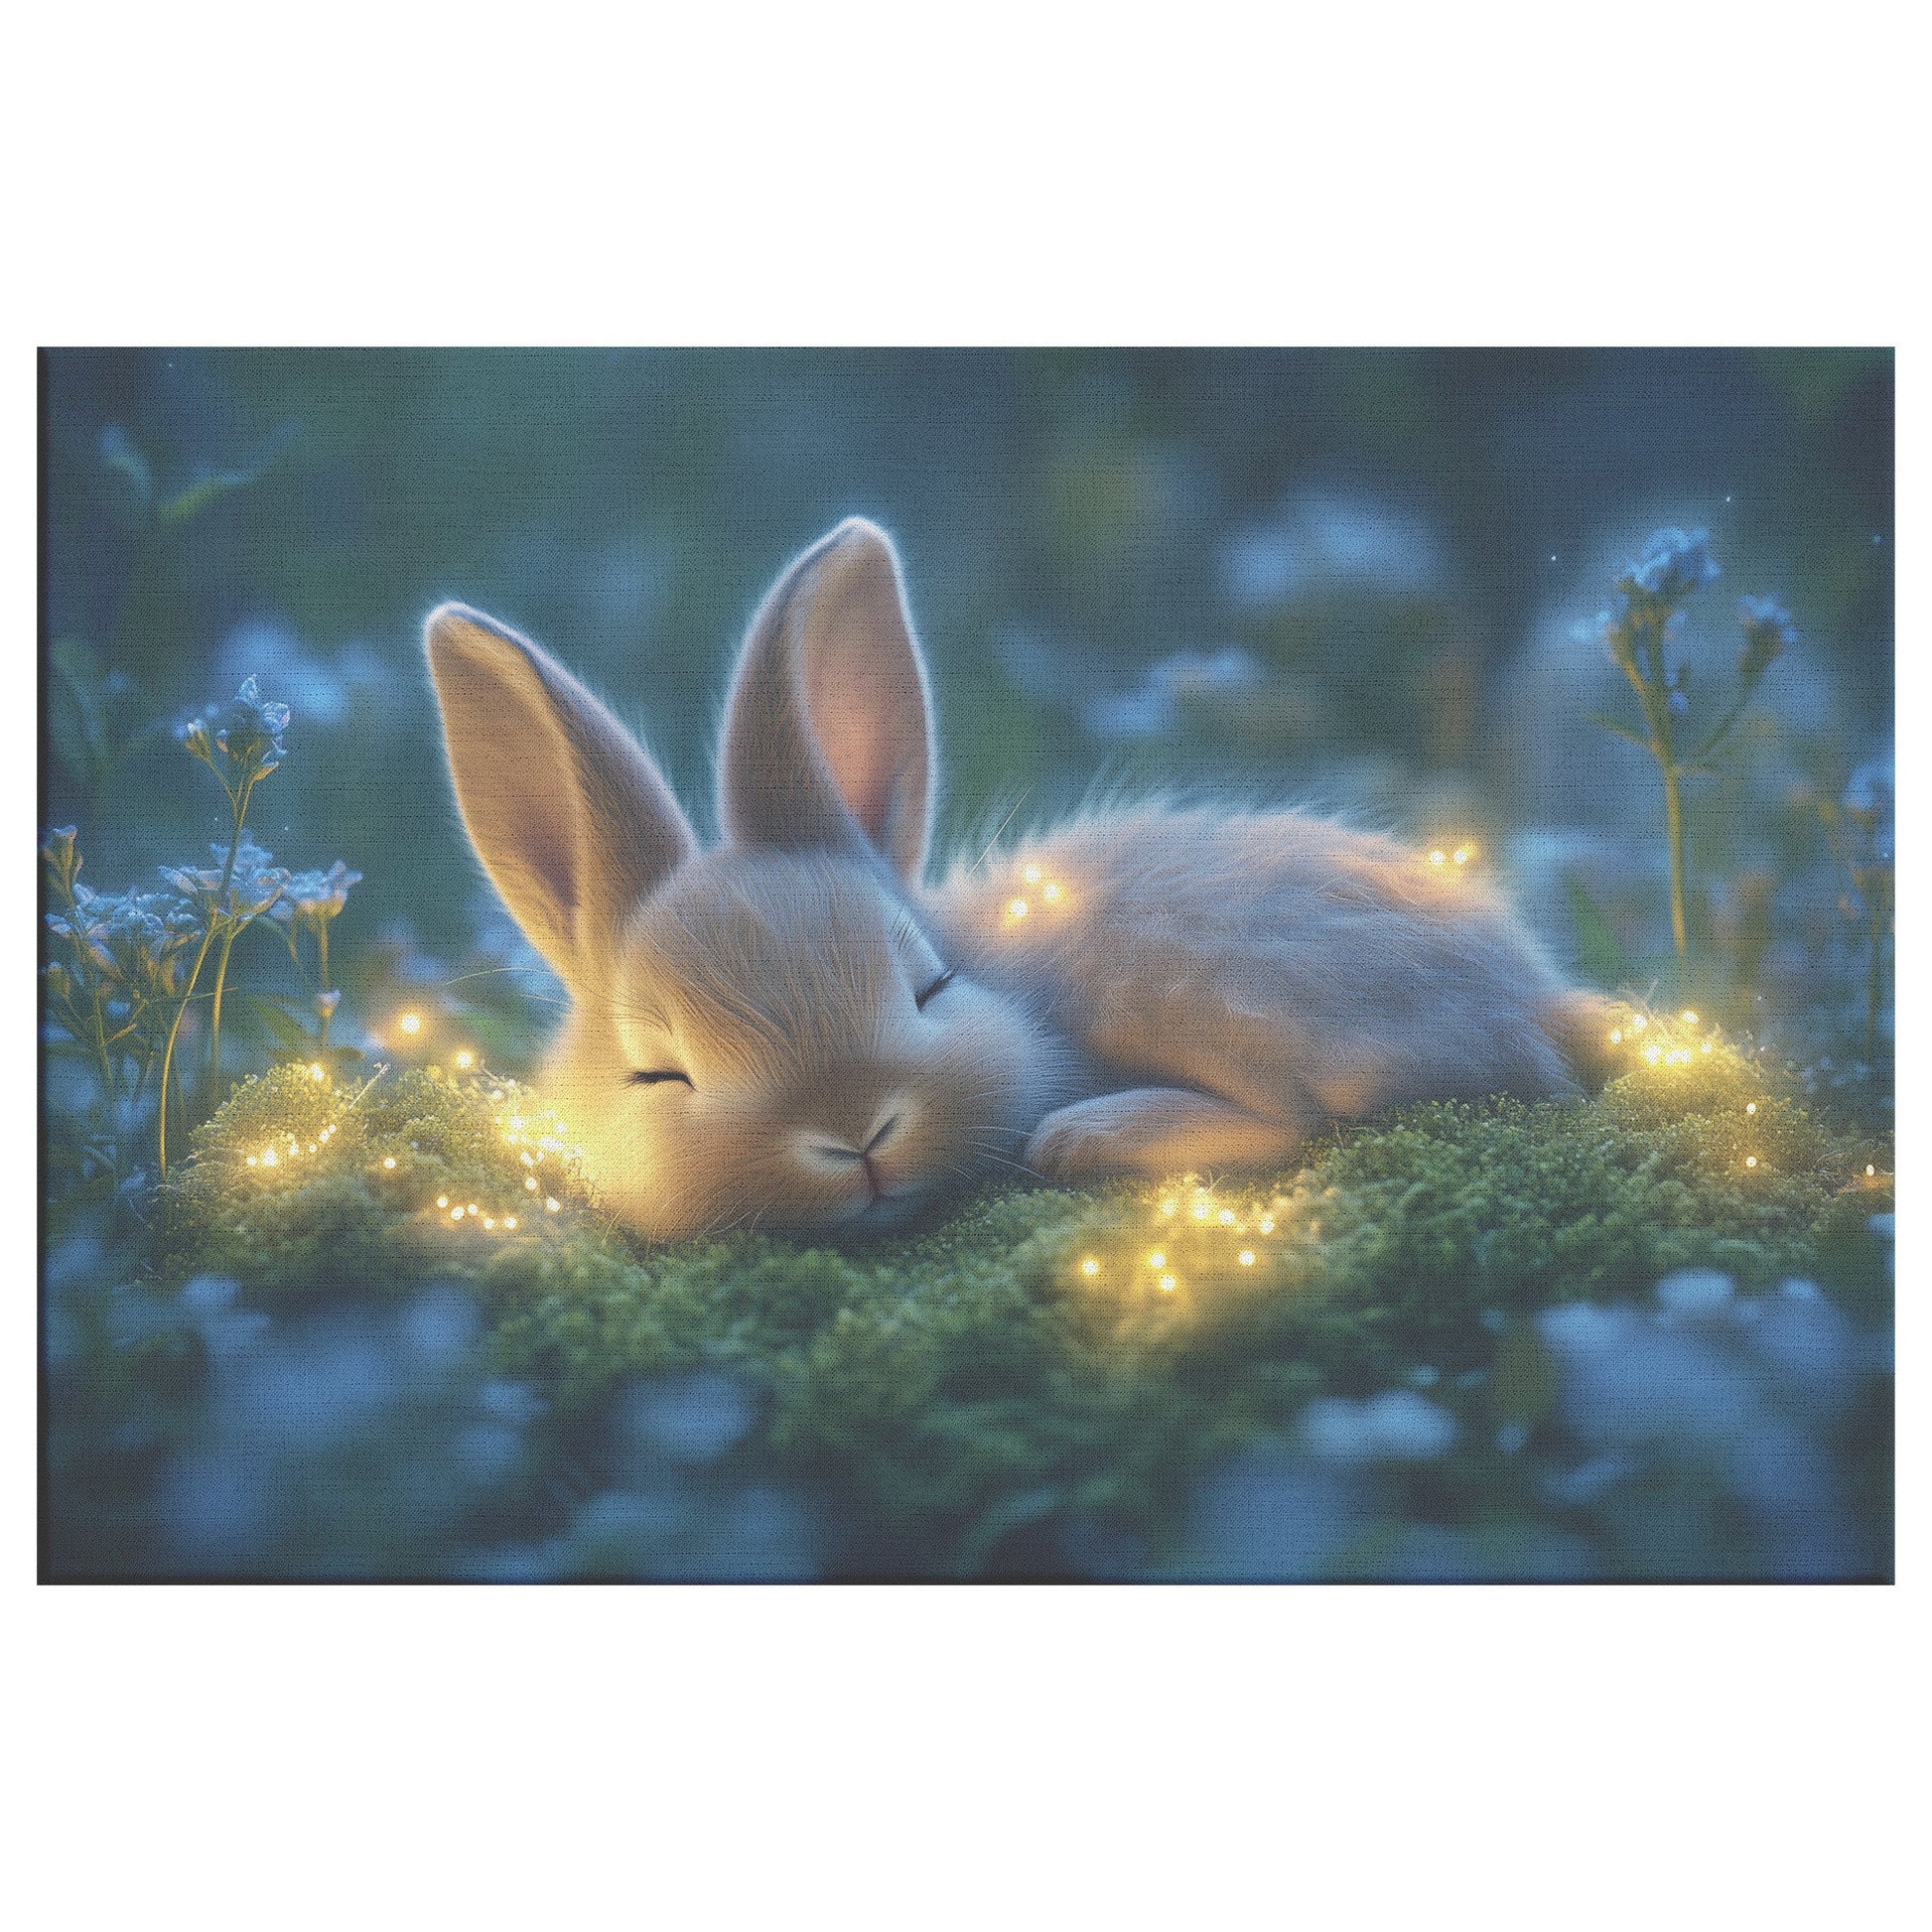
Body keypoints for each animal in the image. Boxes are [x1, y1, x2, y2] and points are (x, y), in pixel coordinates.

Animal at [425, 517, 1614, 1240]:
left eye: (927, 988)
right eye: (659, 1074)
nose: (857, 1133)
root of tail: (1527, 997)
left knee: (1304, 1115)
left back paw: (1090, 1135)